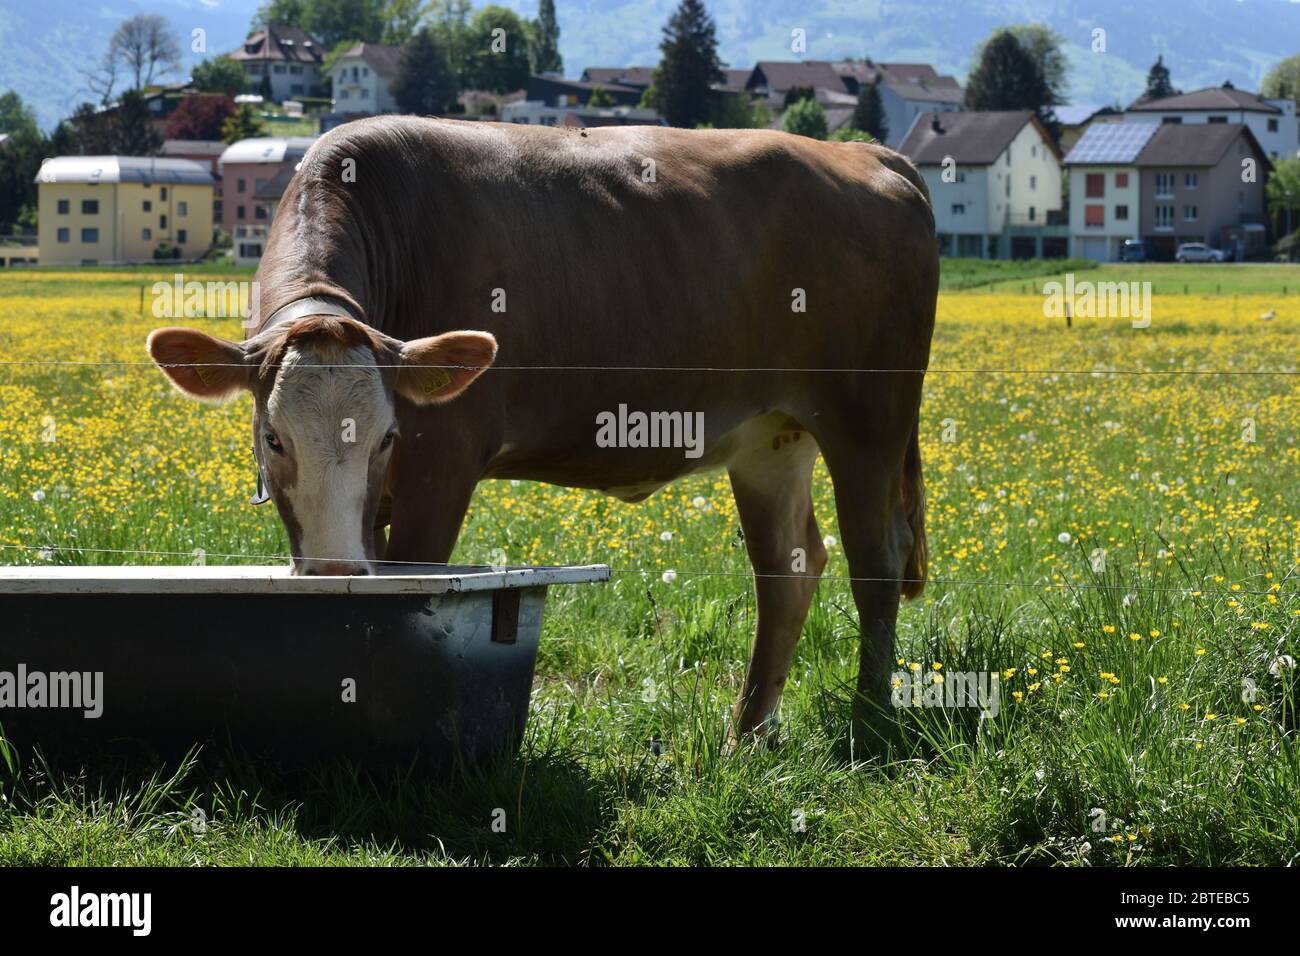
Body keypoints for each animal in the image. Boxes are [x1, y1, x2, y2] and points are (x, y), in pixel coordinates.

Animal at [147, 116, 937, 740]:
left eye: (387, 438)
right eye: (273, 438)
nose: (335, 573)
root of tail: (864, 153)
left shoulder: (442, 464)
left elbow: (411, 579)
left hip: (869, 420)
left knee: (877, 558)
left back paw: (869, 721)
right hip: (773, 435)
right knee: (788, 570)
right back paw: (744, 737)